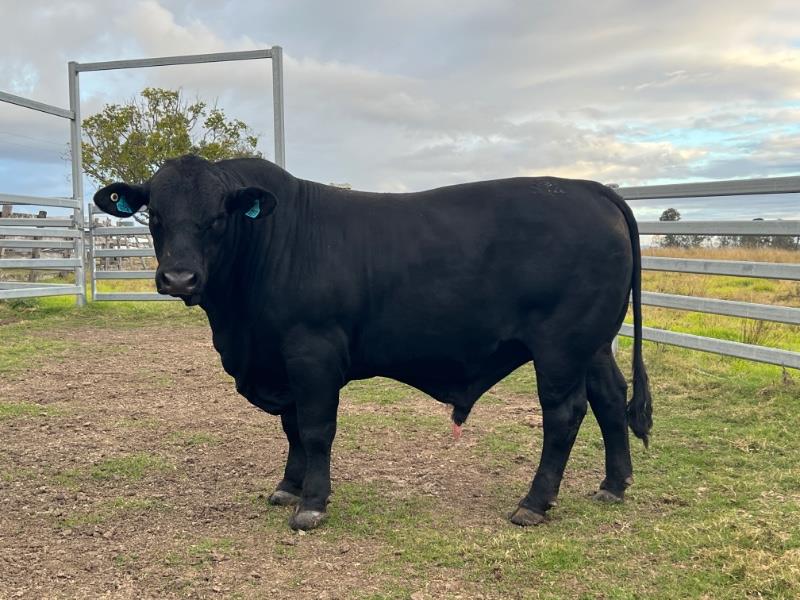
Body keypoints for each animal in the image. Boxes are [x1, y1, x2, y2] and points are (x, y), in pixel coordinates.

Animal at [93, 155, 652, 531]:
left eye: (217, 217)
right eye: (155, 216)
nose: (179, 278)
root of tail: (587, 188)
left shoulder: (312, 352)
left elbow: (316, 428)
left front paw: (312, 503)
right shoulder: (280, 358)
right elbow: (291, 428)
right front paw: (288, 486)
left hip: (560, 346)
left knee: (565, 413)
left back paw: (534, 504)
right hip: (594, 344)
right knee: (609, 399)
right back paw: (613, 485)